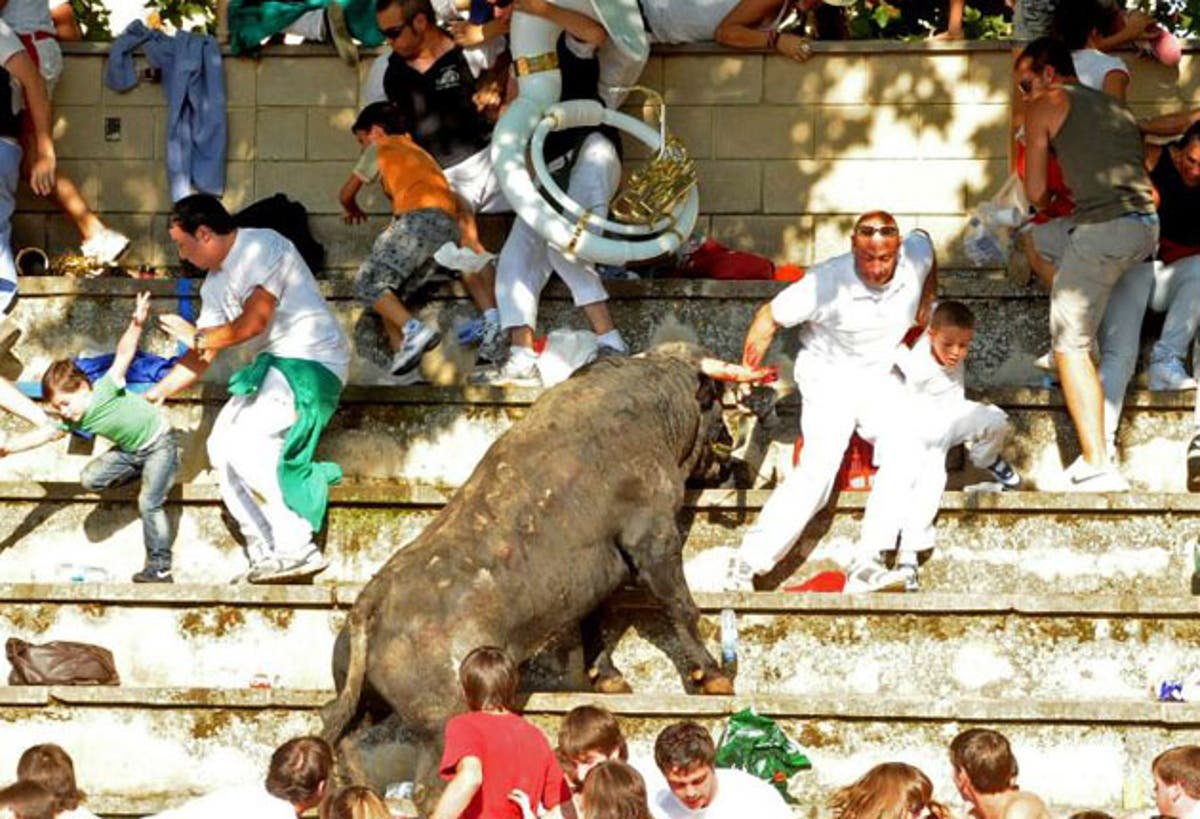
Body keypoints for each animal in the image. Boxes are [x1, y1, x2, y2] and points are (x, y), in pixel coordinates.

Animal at [321, 342, 769, 797]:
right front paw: (712, 676)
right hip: (443, 725)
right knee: (430, 789)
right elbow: (680, 604)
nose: (730, 446)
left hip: (367, 705)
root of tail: (368, 606)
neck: (654, 404)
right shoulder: (653, 538)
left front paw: (609, 679)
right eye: (716, 403)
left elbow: (596, 621)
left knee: (342, 732)